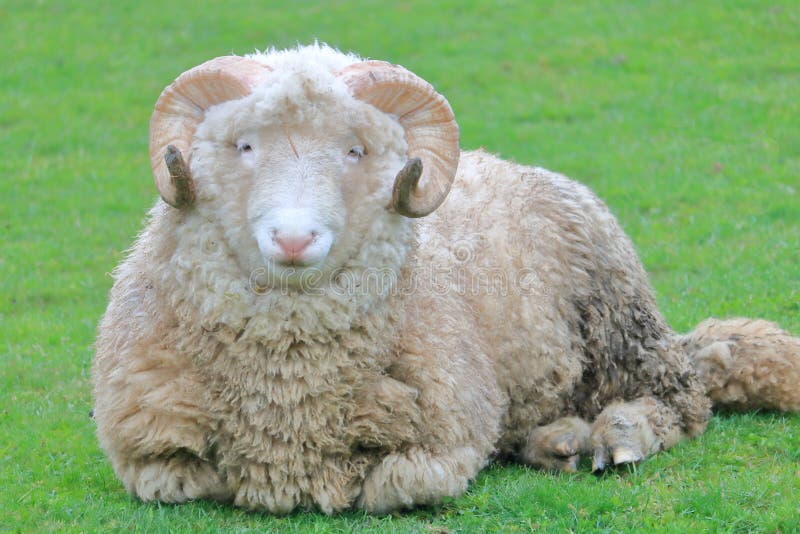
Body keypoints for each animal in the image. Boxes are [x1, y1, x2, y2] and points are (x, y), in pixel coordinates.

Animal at [92, 43, 800, 514]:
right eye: (243, 146)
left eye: (356, 150)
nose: (293, 239)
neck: (288, 381)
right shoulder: (143, 457)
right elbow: (184, 481)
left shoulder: (449, 433)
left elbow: (396, 487)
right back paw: (558, 439)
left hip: (620, 324)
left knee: (682, 401)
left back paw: (616, 436)